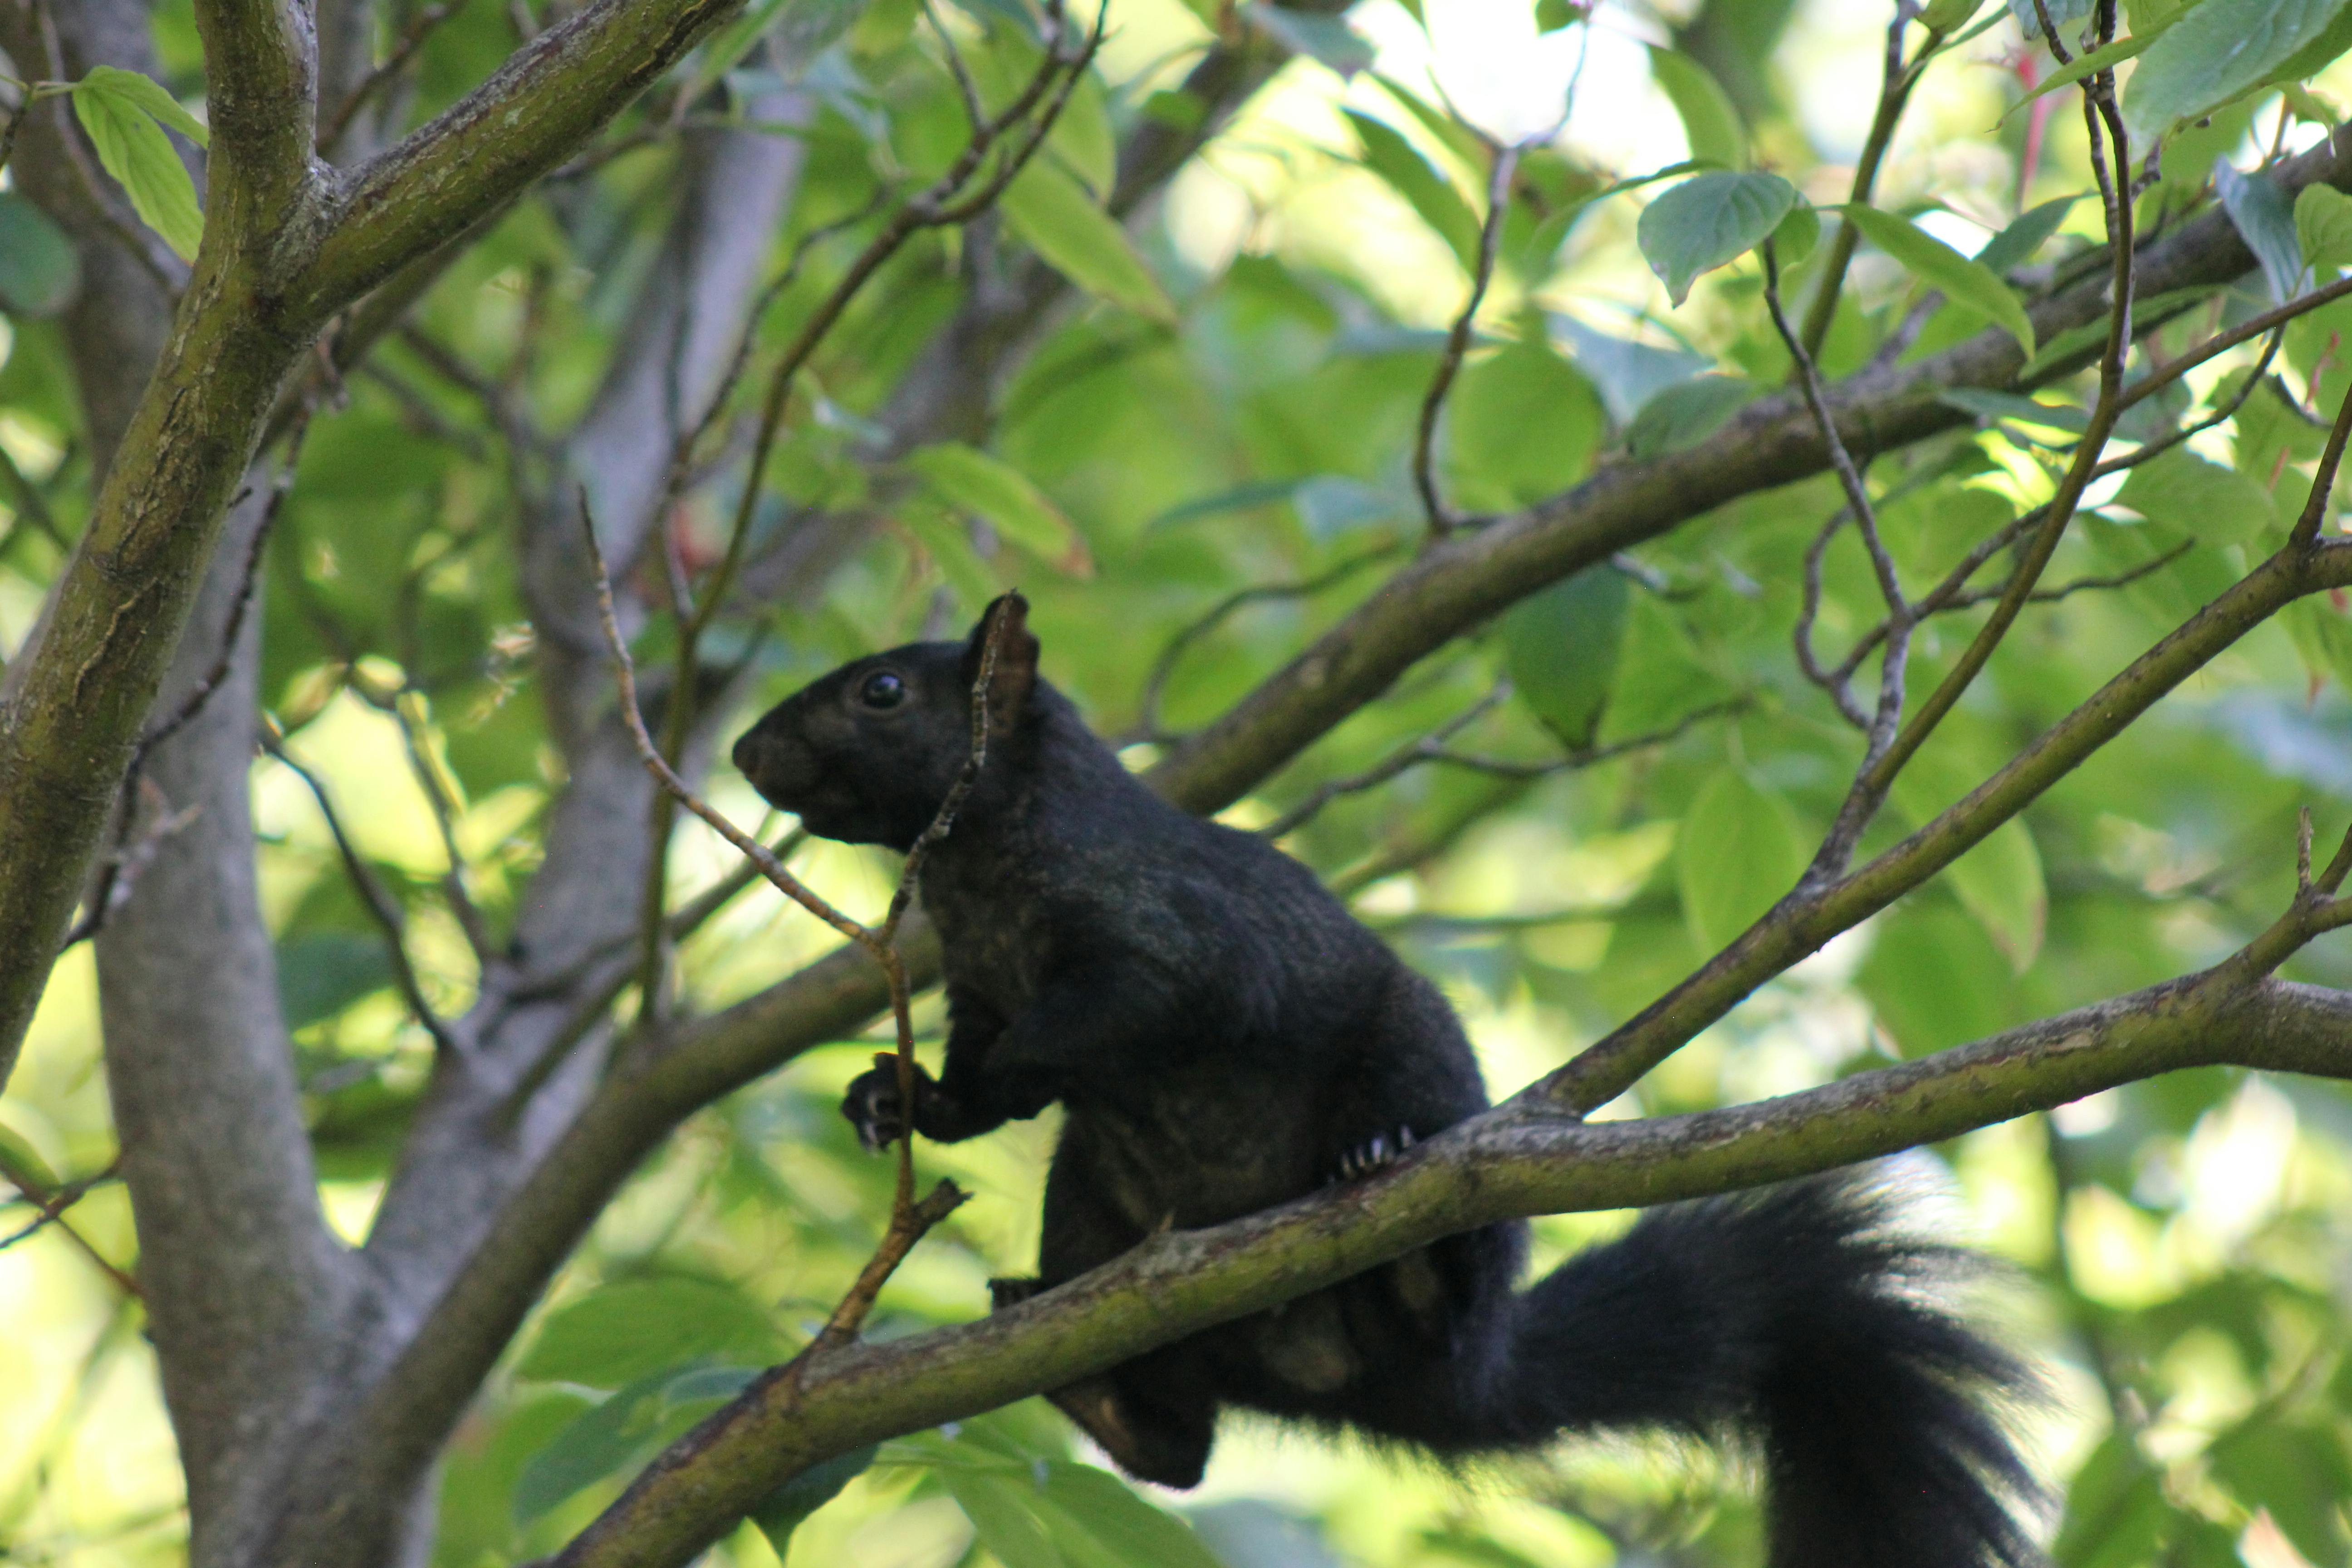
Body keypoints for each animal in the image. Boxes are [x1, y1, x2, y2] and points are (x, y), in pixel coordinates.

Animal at [732, 592, 2043, 1567]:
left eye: (881, 692)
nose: (744, 750)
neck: (975, 873)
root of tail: (1396, 1379)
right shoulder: (975, 985)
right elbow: (973, 1078)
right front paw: (900, 1101)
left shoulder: (1162, 944)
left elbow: (1100, 1022)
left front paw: (984, 1083)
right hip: (1094, 1202)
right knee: (1180, 1449)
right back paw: (1093, 1379)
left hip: (1412, 1075)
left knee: (1421, 1297)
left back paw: (1397, 1222)